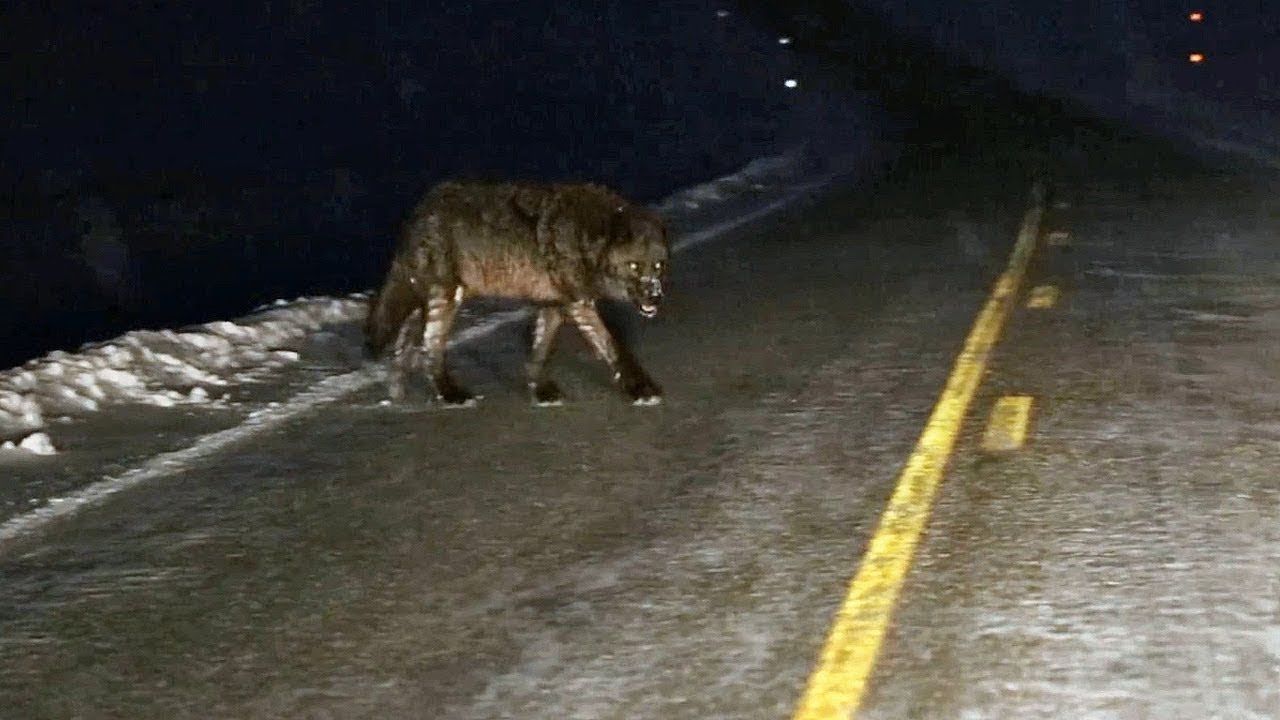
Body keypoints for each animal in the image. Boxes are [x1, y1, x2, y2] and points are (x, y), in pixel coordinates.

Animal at [364, 180, 670, 406]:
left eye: (658, 266)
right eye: (634, 266)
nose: (654, 298)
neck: (587, 235)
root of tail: (420, 211)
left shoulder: (554, 305)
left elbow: (540, 350)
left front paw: (540, 392)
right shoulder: (579, 304)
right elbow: (614, 347)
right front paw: (640, 389)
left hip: (425, 301)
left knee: (404, 344)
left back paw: (397, 395)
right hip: (447, 298)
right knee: (430, 347)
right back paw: (452, 396)